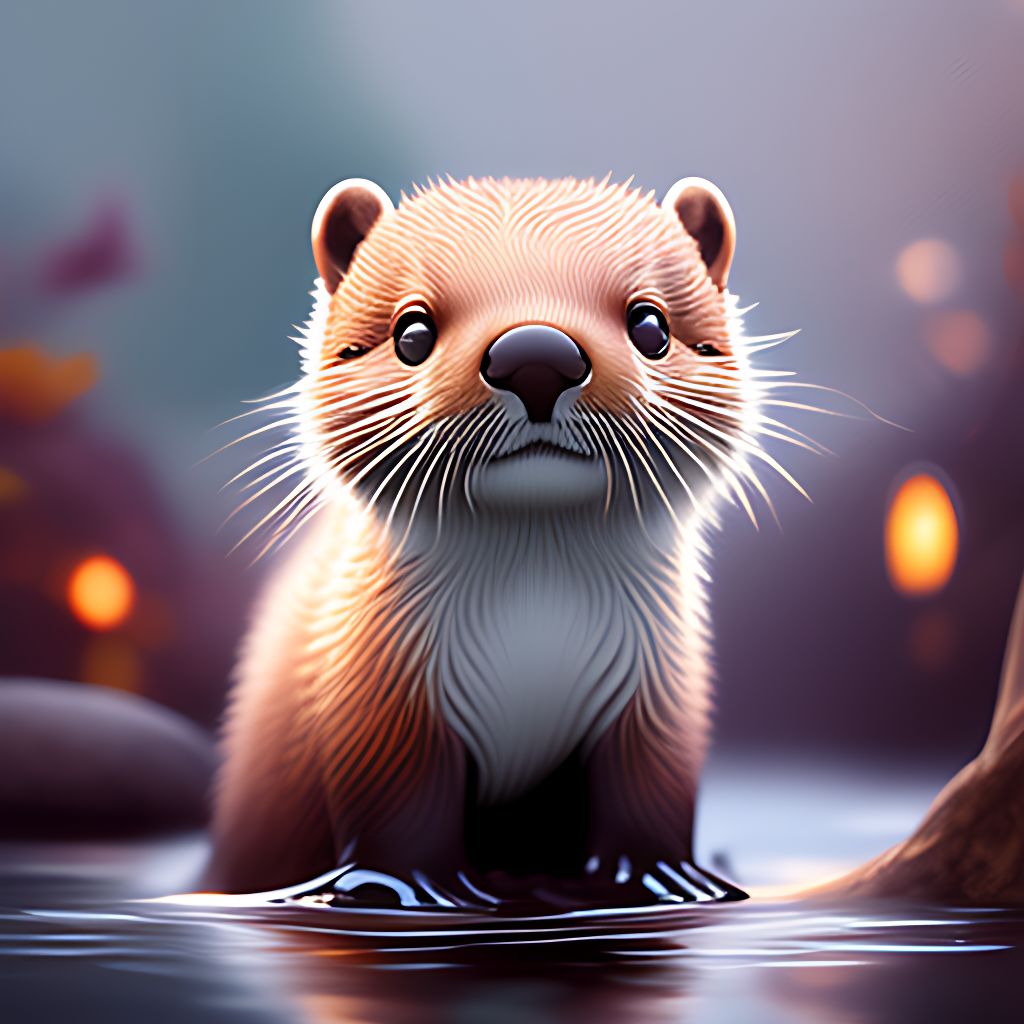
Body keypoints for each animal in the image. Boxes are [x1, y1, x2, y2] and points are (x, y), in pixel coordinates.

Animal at [208, 175, 804, 907]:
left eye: (651, 326)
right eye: (412, 332)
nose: (536, 357)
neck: (533, 644)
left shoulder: (658, 699)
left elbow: (648, 794)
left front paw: (668, 880)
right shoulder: (376, 694)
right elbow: (399, 808)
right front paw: (407, 890)